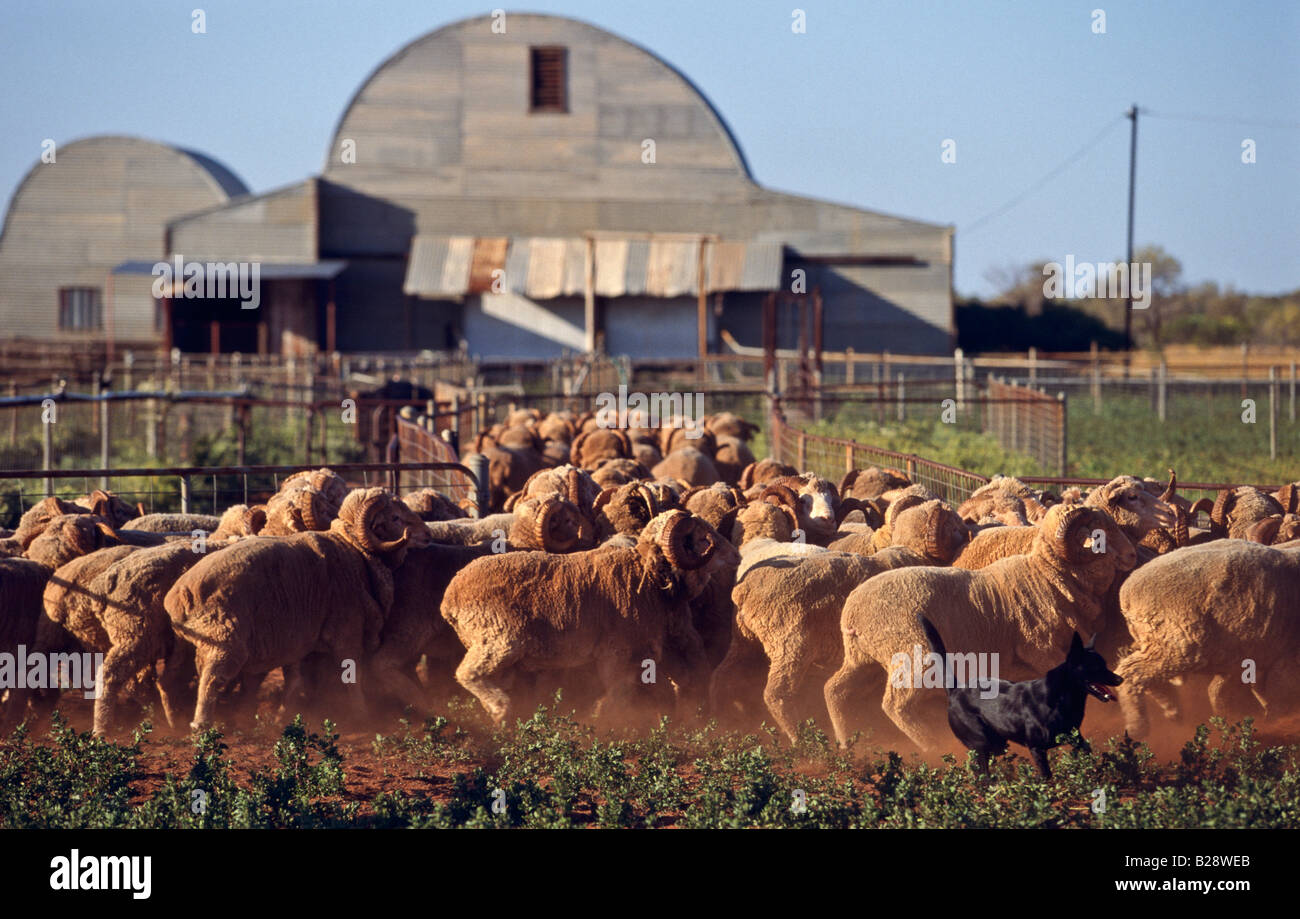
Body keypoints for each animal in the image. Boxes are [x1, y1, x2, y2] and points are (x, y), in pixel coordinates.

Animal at [164, 488, 414, 728]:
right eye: (395, 517)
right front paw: (362, 715)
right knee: (212, 679)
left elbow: (295, 678)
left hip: (184, 644)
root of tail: (181, 593)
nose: (418, 531)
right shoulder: (346, 630)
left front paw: (286, 715)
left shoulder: (300, 636)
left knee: (171, 678)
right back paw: (200, 725)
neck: (352, 549)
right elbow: (352, 672)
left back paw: (175, 719)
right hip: (224, 640)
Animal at [440, 510, 723, 726]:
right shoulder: (616, 652)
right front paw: (600, 722)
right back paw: (501, 710)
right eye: (700, 537)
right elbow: (619, 691)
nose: (725, 555)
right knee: (468, 673)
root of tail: (450, 597)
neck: (650, 578)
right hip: (499, 639)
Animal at [824, 505, 1136, 751]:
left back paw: (847, 744)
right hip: (913, 657)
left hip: (862, 659)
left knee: (834, 689)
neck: (1048, 577)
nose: (1132, 555)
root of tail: (853, 614)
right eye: (1100, 534)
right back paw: (933, 746)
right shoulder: (1043, 649)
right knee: (896, 705)